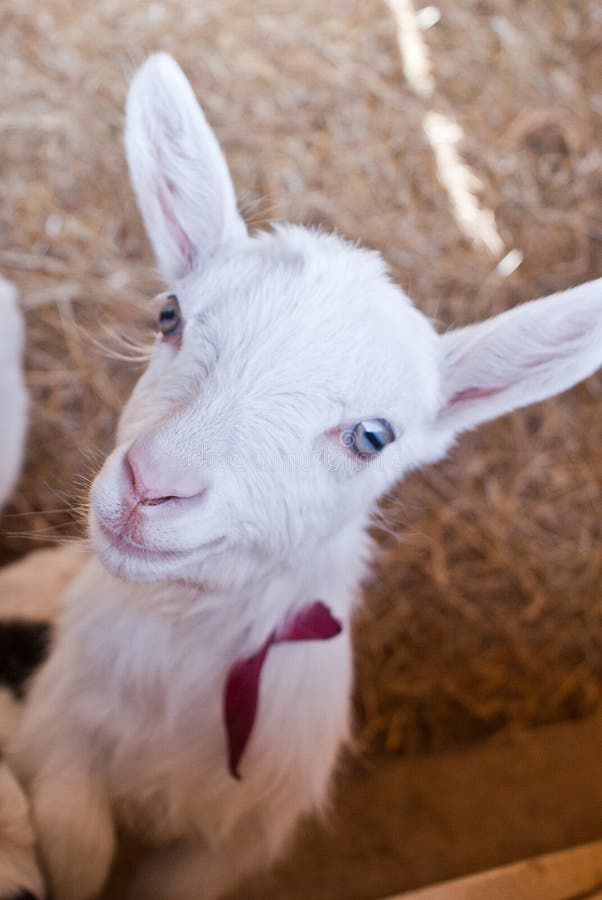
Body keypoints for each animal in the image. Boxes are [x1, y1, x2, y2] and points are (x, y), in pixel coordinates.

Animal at [9, 54, 602, 900]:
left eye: (372, 436)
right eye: (169, 315)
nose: (152, 483)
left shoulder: (241, 834)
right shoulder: (59, 735)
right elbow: (77, 847)